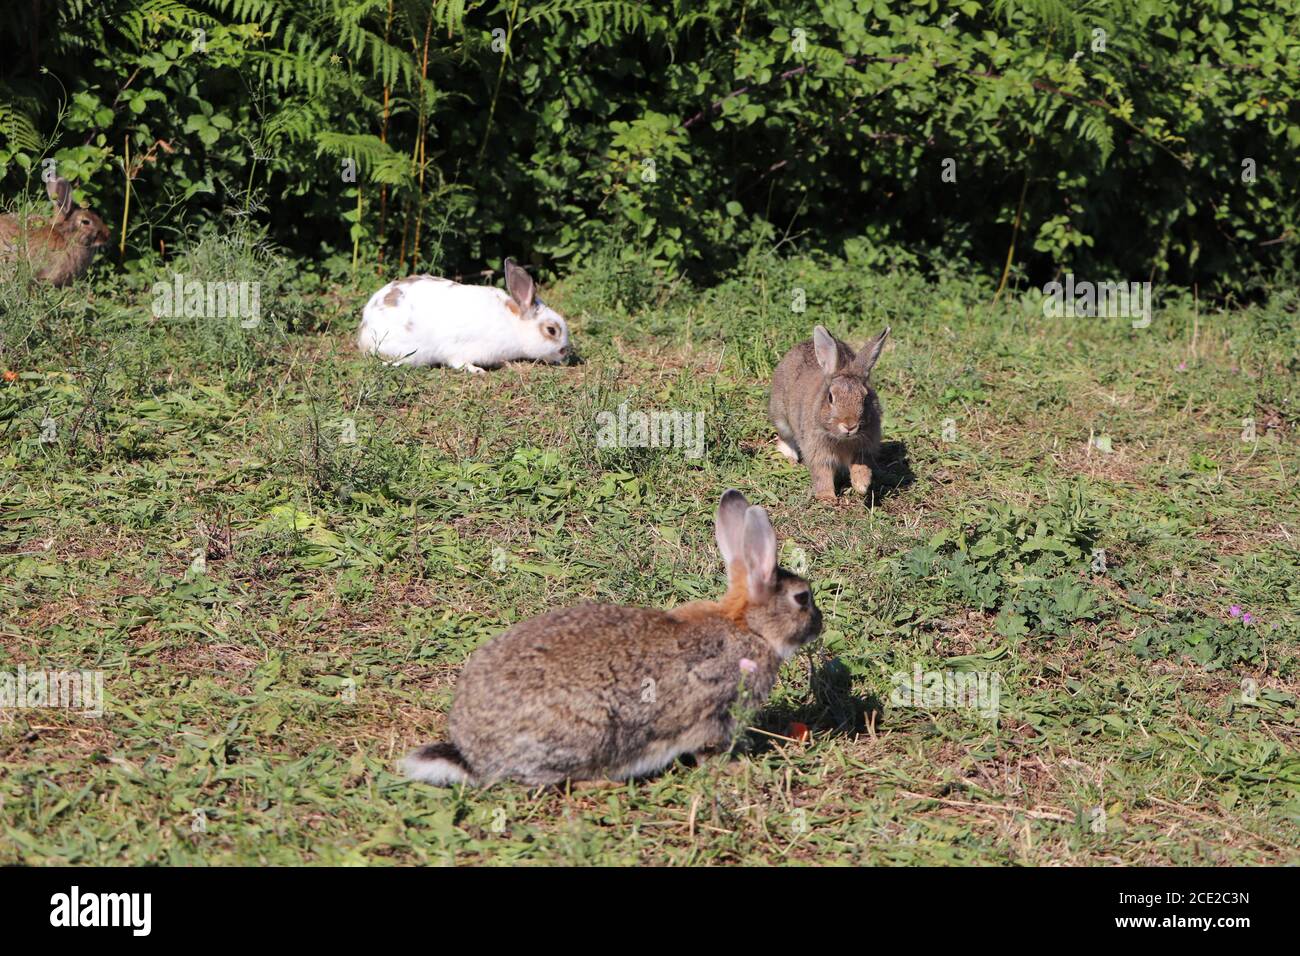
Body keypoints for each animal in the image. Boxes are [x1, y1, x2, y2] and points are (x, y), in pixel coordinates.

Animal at [357, 257, 571, 372]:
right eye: (552, 330)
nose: (565, 352)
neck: (514, 325)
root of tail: (364, 329)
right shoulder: (459, 349)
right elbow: (460, 363)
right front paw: (478, 370)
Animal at [769, 325, 890, 502]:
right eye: (830, 397)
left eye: (865, 397)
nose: (849, 425)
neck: (842, 440)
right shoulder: (817, 452)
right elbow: (822, 474)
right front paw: (827, 498)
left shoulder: (864, 448)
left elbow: (860, 466)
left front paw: (861, 486)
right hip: (781, 416)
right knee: (784, 438)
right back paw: (791, 457)